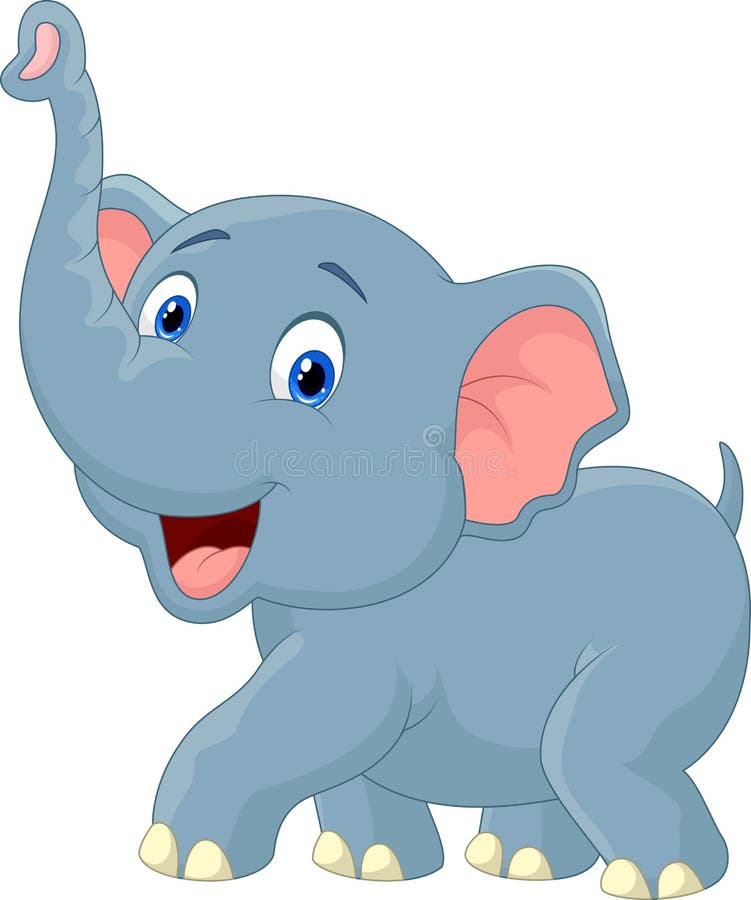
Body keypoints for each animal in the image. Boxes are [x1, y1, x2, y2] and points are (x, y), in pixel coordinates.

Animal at [3, 3, 749, 898]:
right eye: (169, 314)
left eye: (311, 374)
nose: (37, 47)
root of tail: (714, 511)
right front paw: (368, 868)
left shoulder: (371, 645)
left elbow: (314, 712)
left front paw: (180, 859)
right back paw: (519, 864)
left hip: (685, 630)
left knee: (586, 741)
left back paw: (659, 877)